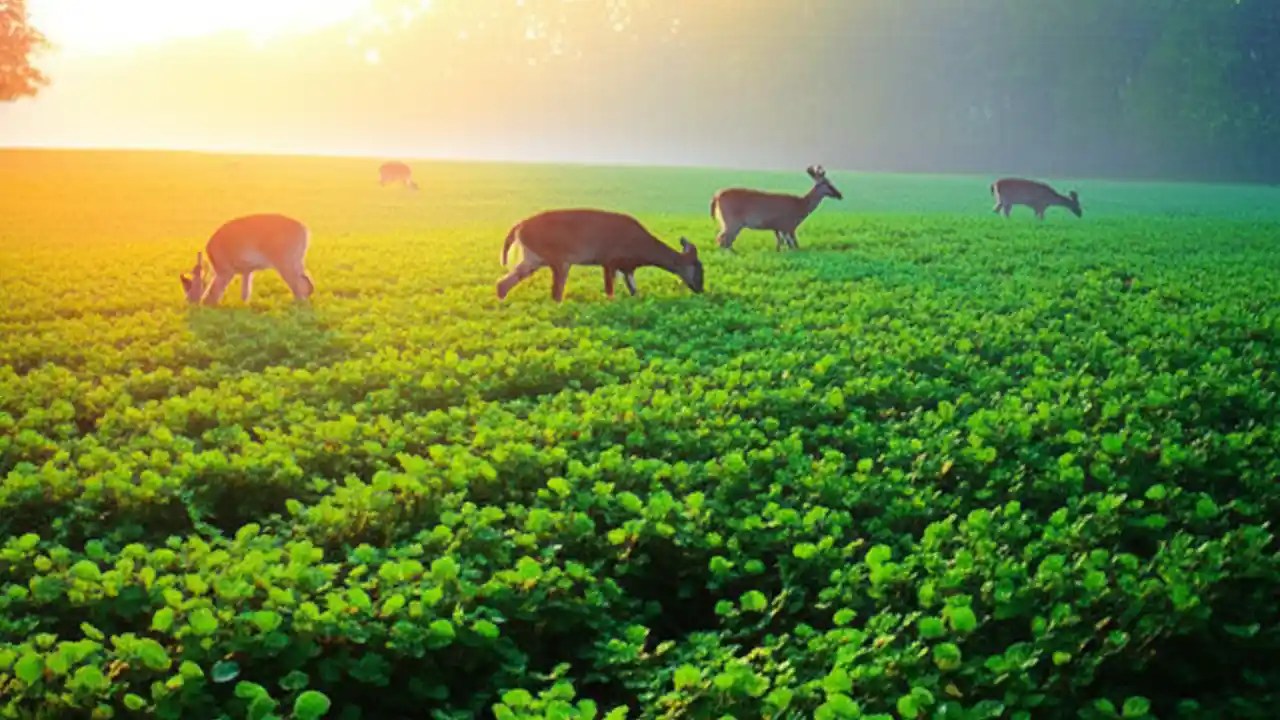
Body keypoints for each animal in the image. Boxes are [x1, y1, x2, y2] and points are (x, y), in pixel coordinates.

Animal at [180, 213, 315, 307]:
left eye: (191, 288)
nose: (191, 303)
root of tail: (304, 230)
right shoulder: (247, 271)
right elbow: (245, 292)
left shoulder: (226, 271)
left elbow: (216, 291)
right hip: (296, 261)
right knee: (306, 282)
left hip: (285, 263)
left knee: (299, 286)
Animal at [496, 208, 704, 303]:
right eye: (699, 269)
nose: (700, 289)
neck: (641, 247)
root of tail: (520, 226)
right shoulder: (609, 260)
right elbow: (610, 291)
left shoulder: (627, 267)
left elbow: (634, 291)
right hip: (558, 258)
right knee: (556, 292)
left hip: (533, 257)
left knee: (505, 282)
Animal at [709, 165, 844, 251]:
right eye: (828, 184)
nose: (840, 195)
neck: (801, 206)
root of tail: (716, 196)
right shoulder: (789, 225)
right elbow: (793, 245)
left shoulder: (779, 227)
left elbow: (781, 243)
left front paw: (778, 250)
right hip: (731, 220)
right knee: (722, 238)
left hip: (732, 223)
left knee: (725, 239)